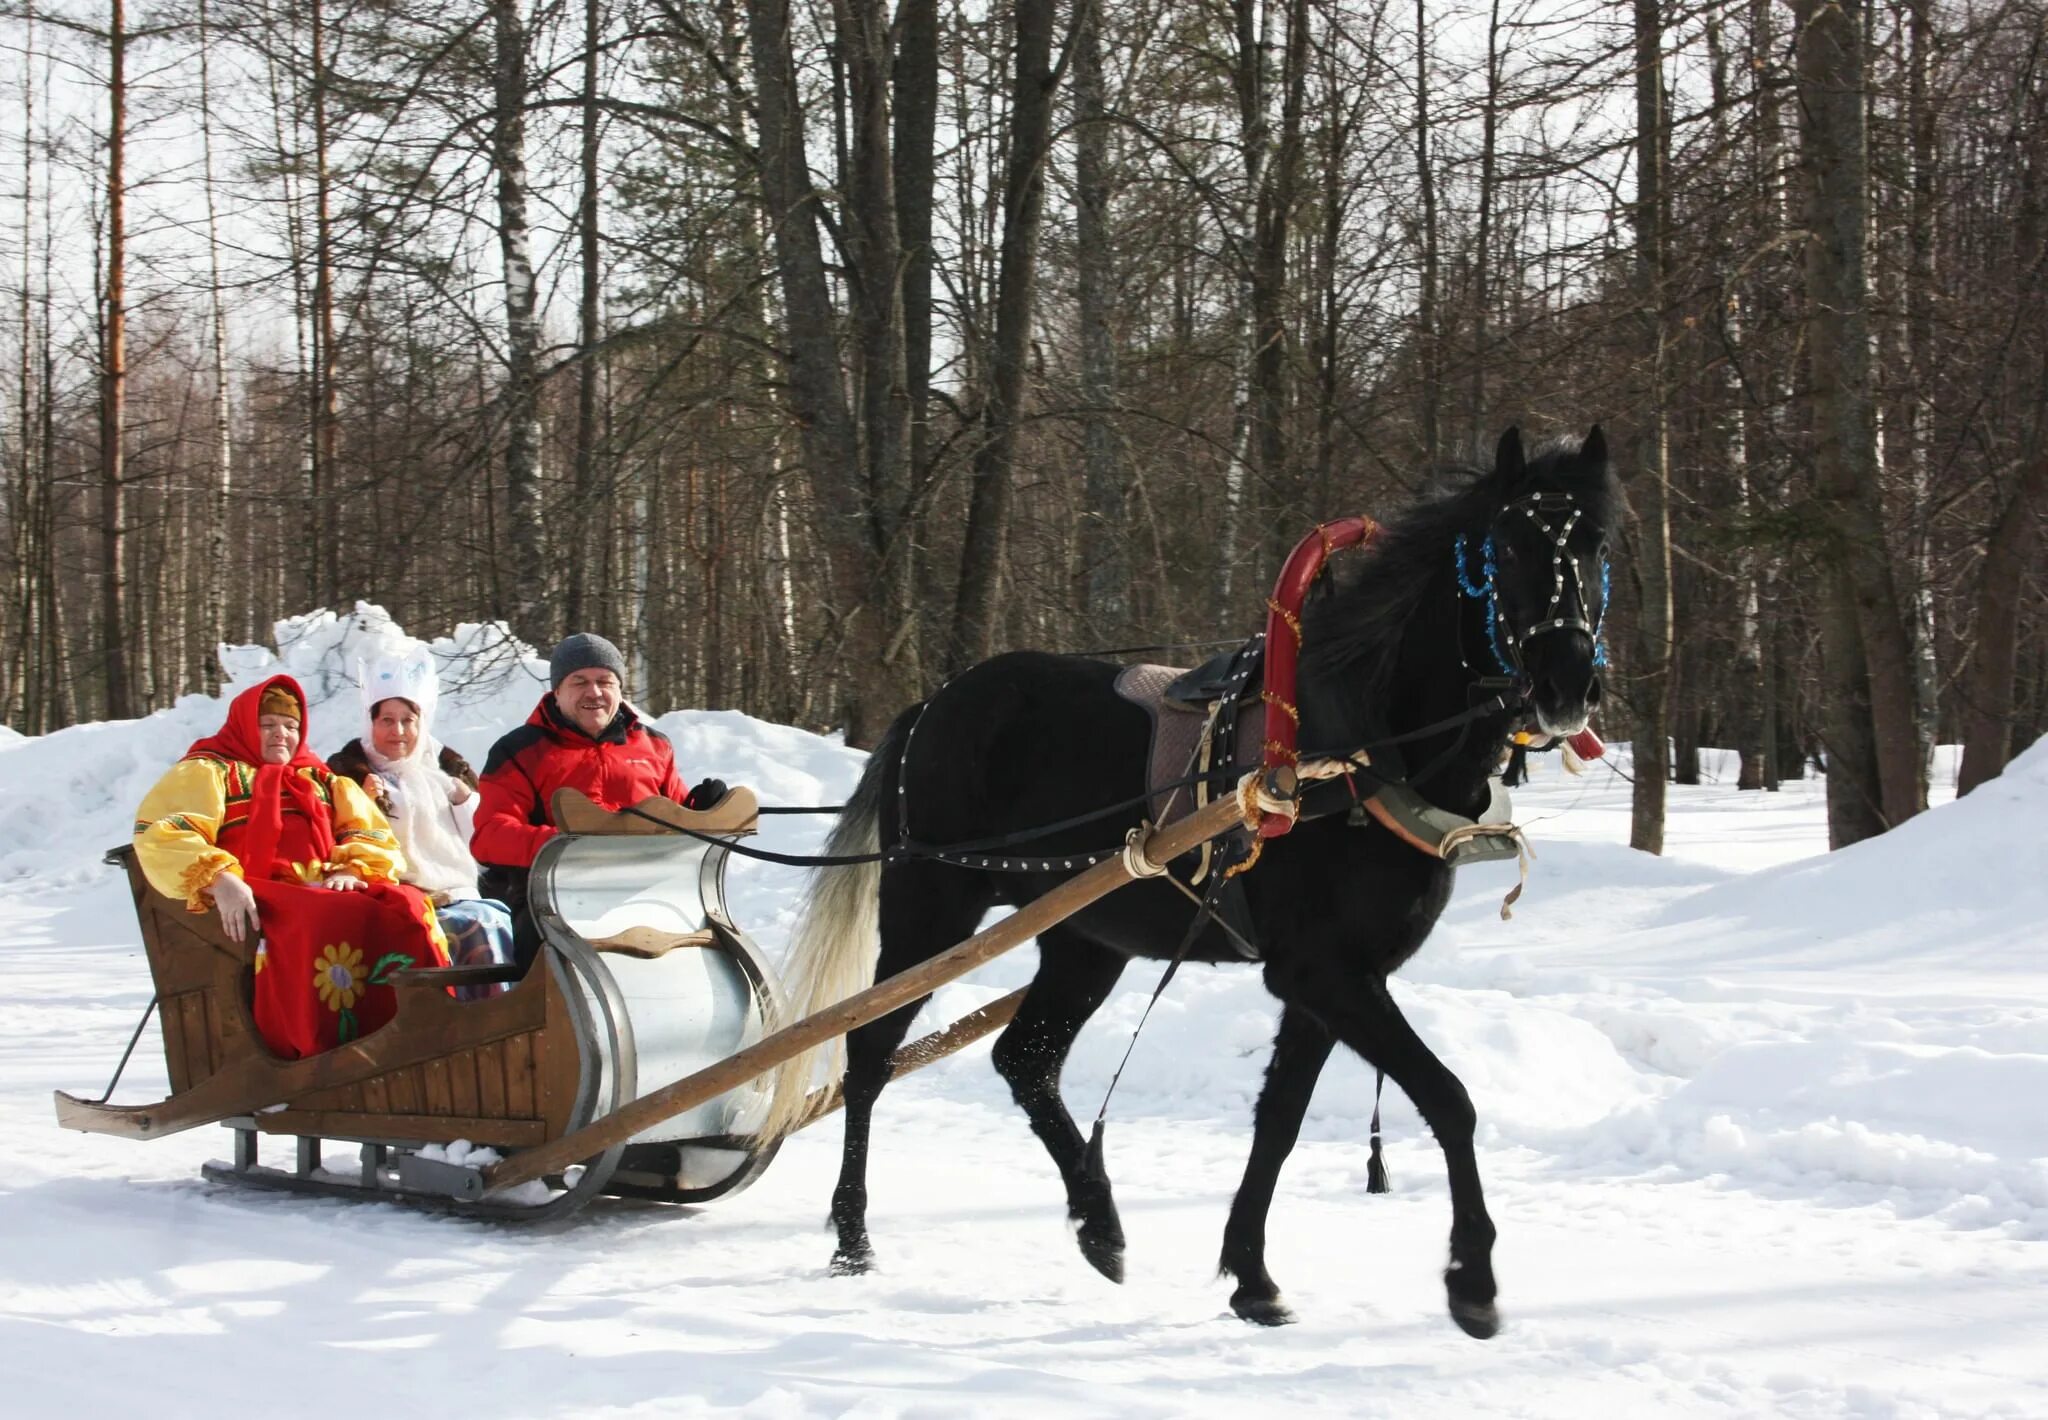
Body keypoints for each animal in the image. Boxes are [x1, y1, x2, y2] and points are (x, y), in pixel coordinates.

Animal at [761, 426, 1605, 1335]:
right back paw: (853, 1235)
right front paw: (1472, 1277)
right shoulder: (1324, 973)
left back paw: (1098, 1220)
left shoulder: (1332, 980)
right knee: (869, 1053)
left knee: (1025, 1059)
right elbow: (1448, 1099)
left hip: (1086, 938)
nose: (1568, 684)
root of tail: (932, 707)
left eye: (1597, 542)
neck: (1356, 745)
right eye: (1508, 545)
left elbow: (1279, 1121)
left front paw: (1251, 1273)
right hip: (933, 909)